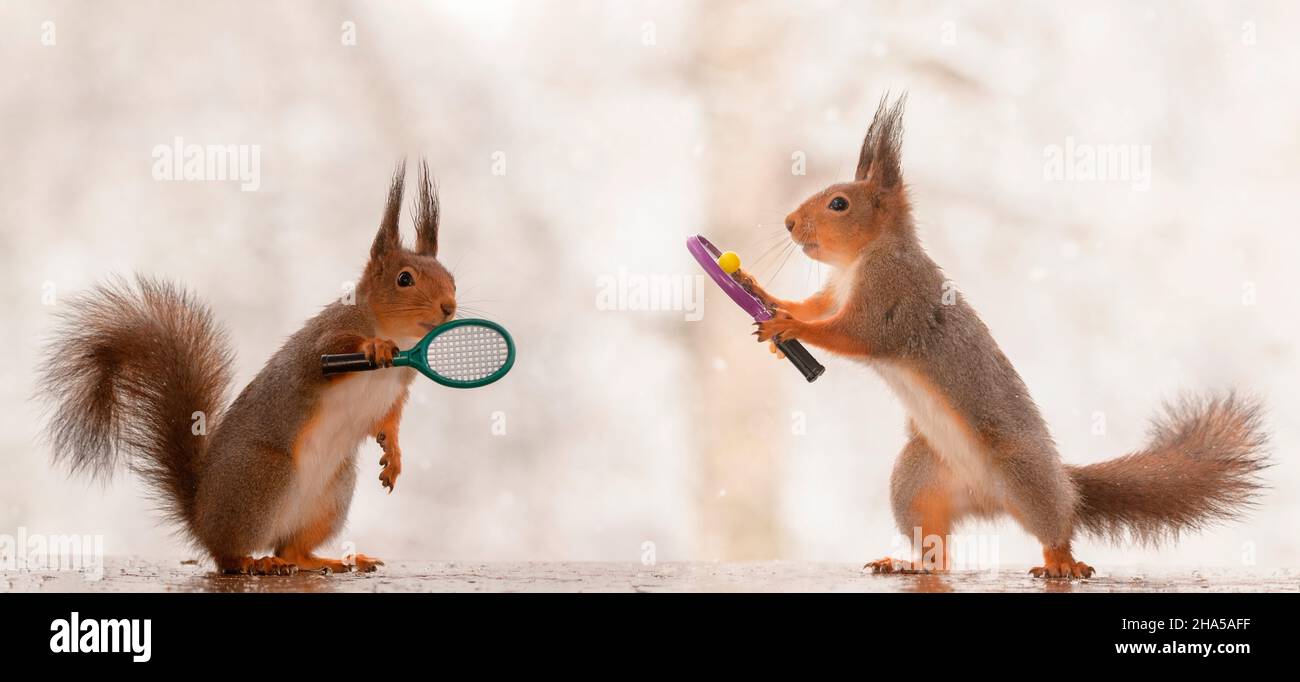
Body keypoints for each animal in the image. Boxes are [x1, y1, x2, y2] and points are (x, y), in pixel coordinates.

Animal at [37, 160, 456, 575]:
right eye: (404, 279)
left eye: (451, 277)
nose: (450, 307)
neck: (398, 335)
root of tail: (201, 517)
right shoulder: (325, 338)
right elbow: (328, 354)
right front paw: (374, 347)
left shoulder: (401, 383)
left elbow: (390, 418)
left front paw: (394, 456)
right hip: (264, 477)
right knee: (229, 556)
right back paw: (258, 562)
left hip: (332, 492)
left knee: (293, 550)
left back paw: (334, 559)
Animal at [744, 95, 1270, 578]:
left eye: (839, 204)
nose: (789, 222)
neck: (860, 260)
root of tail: (987, 498)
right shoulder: (836, 291)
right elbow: (816, 307)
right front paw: (762, 295)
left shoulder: (894, 297)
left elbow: (854, 333)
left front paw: (790, 326)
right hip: (916, 480)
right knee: (937, 549)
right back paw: (909, 563)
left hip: (1023, 474)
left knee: (1056, 523)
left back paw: (1062, 562)